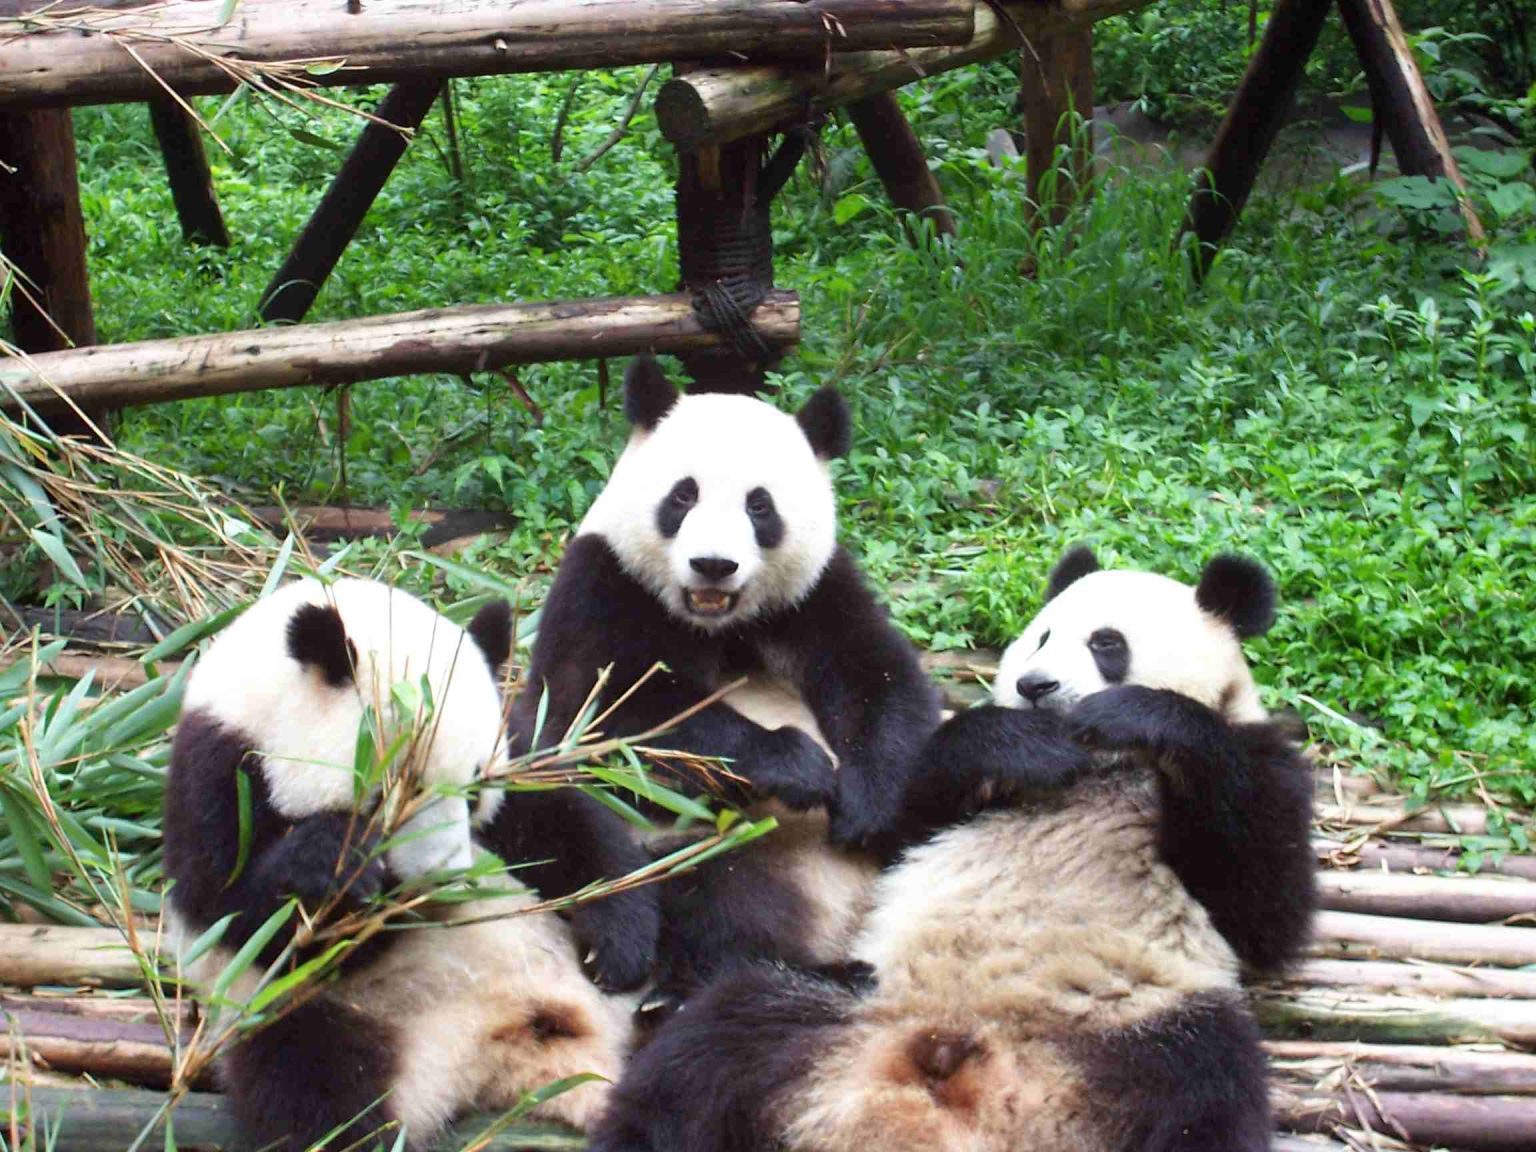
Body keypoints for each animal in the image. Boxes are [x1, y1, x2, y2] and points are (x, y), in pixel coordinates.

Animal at [163, 577, 641, 1151]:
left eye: (474, 793)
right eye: (393, 795)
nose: (448, 877)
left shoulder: (515, 745)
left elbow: (564, 823)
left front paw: (616, 943)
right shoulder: (218, 773)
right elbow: (233, 914)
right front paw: (336, 865)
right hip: (316, 1013)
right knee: (313, 1084)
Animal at [491, 355, 942, 1008]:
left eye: (761, 507)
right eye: (683, 495)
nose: (713, 565)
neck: (713, 621)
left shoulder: (814, 595)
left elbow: (880, 678)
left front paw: (866, 804)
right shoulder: (603, 582)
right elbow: (607, 719)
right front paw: (796, 763)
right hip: (684, 838)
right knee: (693, 885)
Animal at [590, 547, 1317, 1152]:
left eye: (1107, 643)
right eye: (1041, 637)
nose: (1035, 686)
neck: (1098, 772)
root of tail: (954, 1069)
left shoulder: (1260, 764)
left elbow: (1264, 906)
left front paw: (1141, 715)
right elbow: (895, 823)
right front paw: (1013, 741)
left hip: (1137, 1035)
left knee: (1208, 1095)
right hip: (839, 1003)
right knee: (711, 1045)